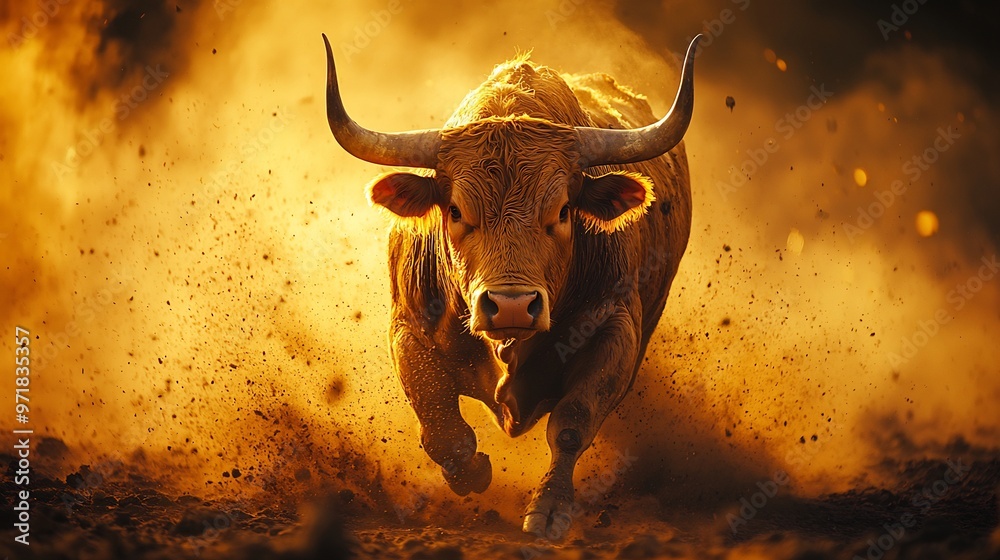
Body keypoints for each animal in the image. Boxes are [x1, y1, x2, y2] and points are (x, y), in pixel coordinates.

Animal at [321, 33, 700, 538]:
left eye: (563, 211)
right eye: (456, 210)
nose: (513, 306)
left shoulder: (616, 330)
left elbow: (572, 422)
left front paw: (550, 509)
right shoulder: (407, 328)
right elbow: (439, 420)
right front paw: (472, 473)